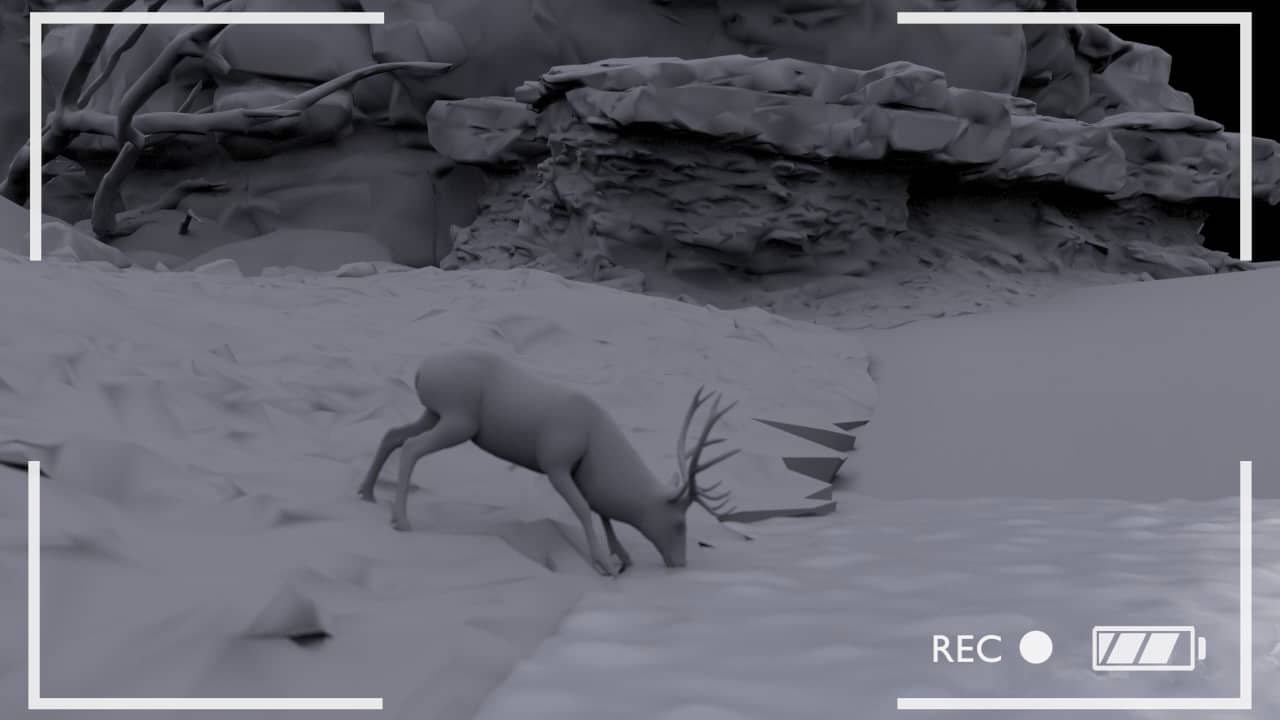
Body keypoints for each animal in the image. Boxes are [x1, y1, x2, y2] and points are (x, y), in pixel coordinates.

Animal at [357, 347, 740, 576]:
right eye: (678, 523)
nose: (680, 563)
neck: (598, 446)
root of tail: (422, 370)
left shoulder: (584, 477)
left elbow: (603, 513)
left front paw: (622, 555)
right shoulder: (555, 463)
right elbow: (585, 509)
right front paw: (603, 563)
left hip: (435, 413)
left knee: (393, 434)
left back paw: (367, 494)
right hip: (458, 419)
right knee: (411, 447)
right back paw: (402, 520)